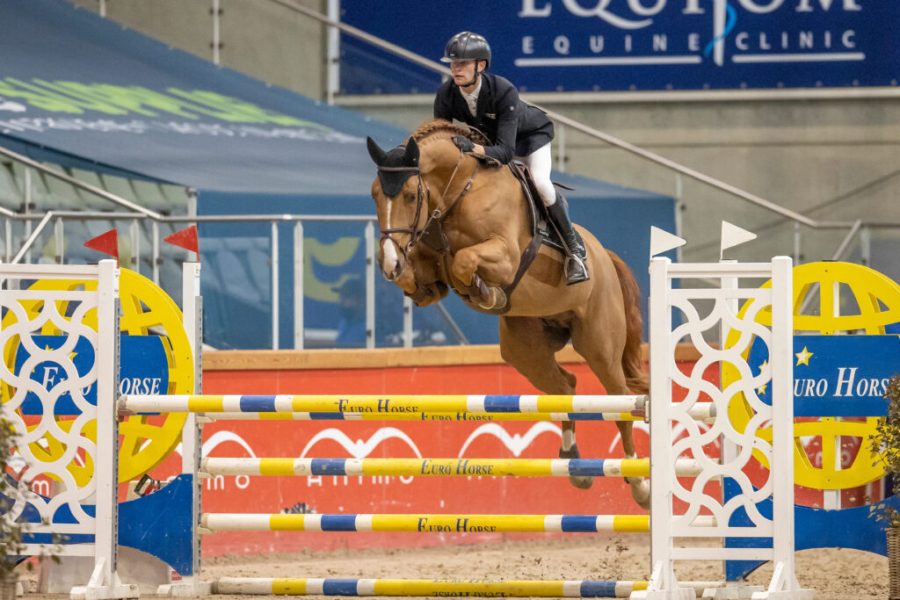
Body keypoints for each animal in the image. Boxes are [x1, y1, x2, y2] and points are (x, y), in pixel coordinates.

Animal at [366, 120, 650, 508]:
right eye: (374, 195)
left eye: (410, 195)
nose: (388, 264)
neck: (456, 190)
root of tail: (604, 255)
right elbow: (426, 276)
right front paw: (429, 284)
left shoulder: (505, 255)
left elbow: (463, 261)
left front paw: (485, 292)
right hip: (525, 350)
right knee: (566, 386)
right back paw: (573, 463)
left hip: (599, 345)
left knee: (619, 400)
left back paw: (640, 484)